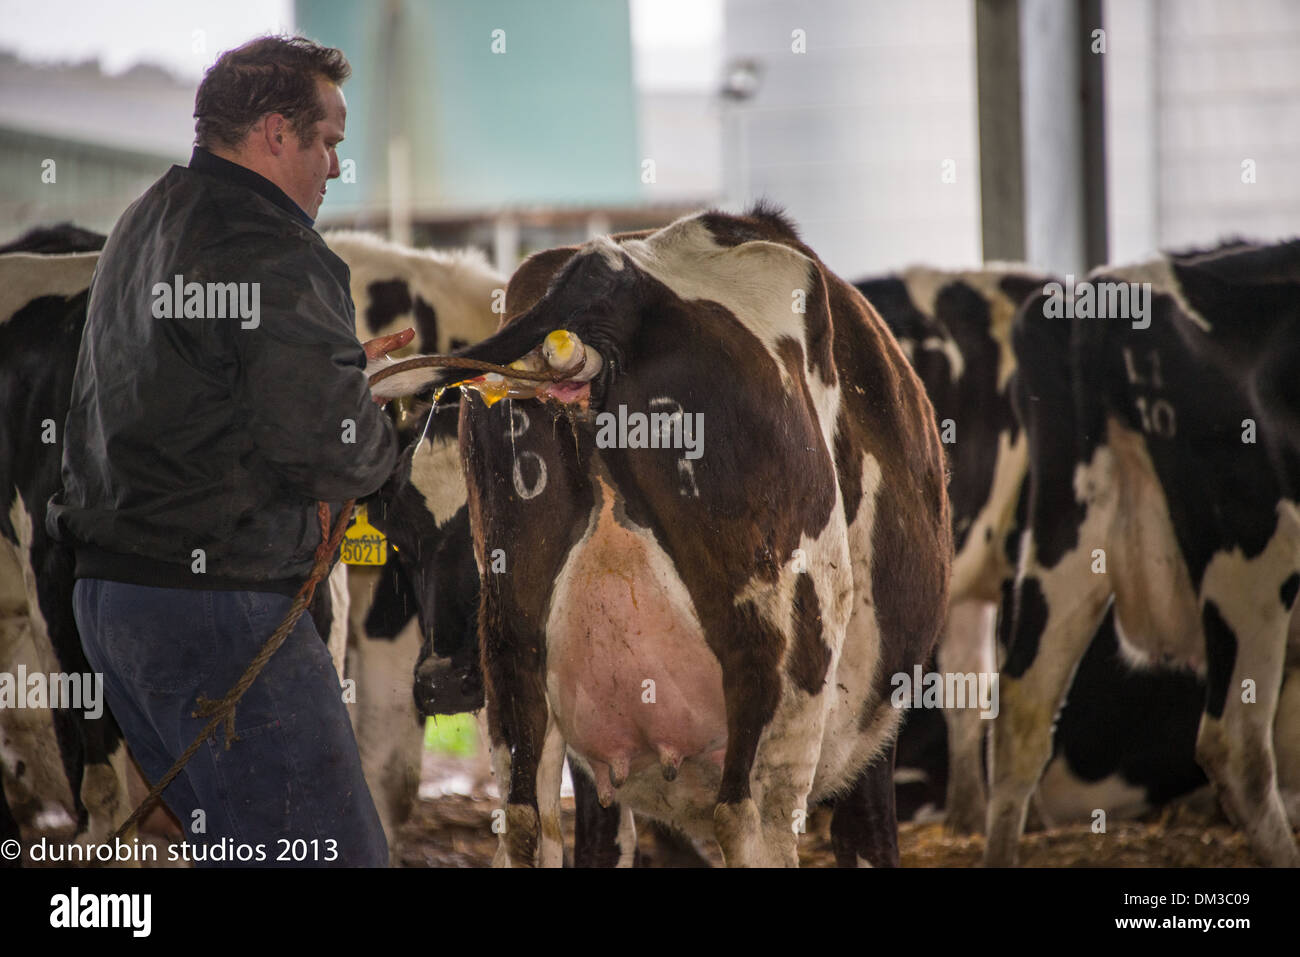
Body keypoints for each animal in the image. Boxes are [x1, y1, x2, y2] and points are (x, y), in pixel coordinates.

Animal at [373, 203, 952, 867]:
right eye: (400, 535)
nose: (440, 681)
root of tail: (610, 276)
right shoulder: (873, 731)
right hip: (786, 650)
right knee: (749, 820)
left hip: (512, 649)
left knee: (525, 823)